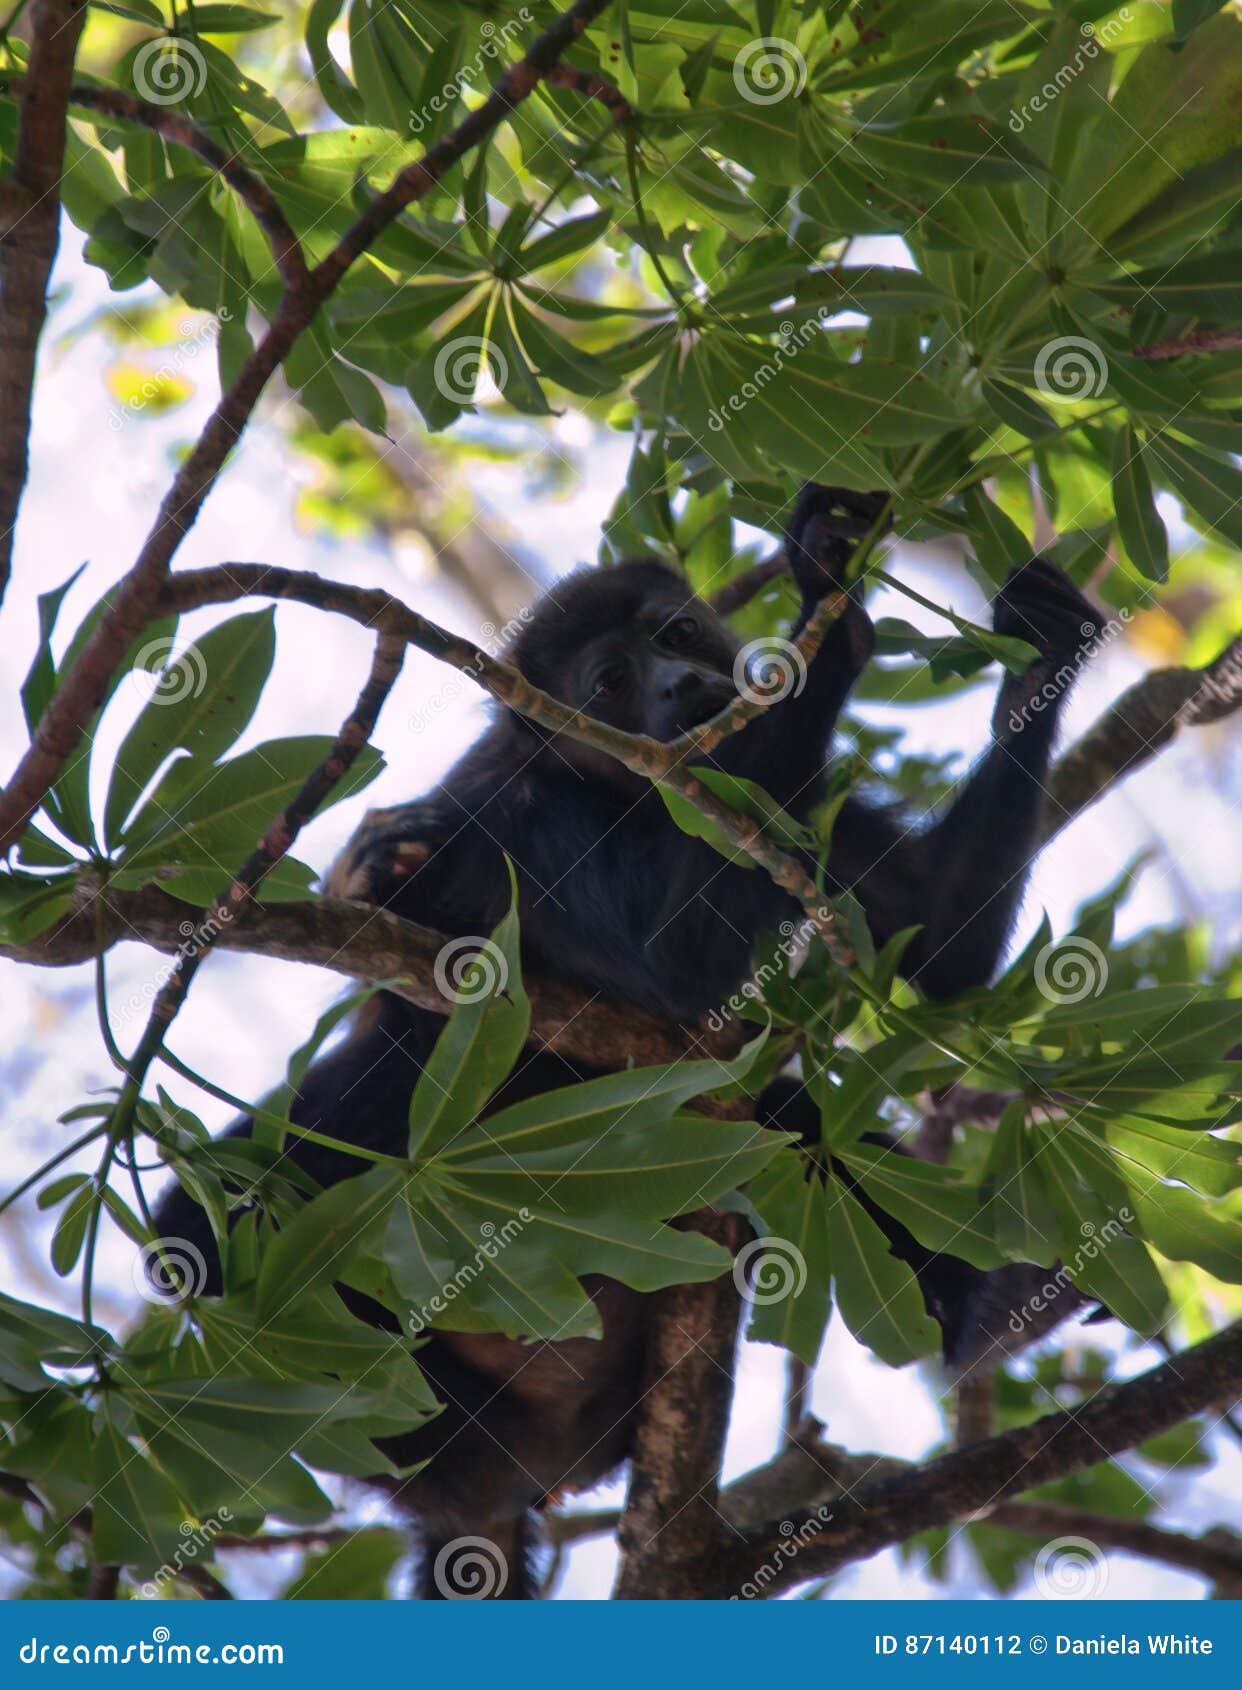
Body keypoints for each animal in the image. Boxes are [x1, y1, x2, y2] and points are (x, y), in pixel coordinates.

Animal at [153, 483, 1104, 1596]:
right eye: (610, 682)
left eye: (676, 633)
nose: (686, 685)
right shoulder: (524, 820)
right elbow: (679, 960)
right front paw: (829, 621)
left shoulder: (798, 810)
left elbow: (941, 937)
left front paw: (1032, 639)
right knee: (204, 1221)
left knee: (794, 1128)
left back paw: (991, 1309)